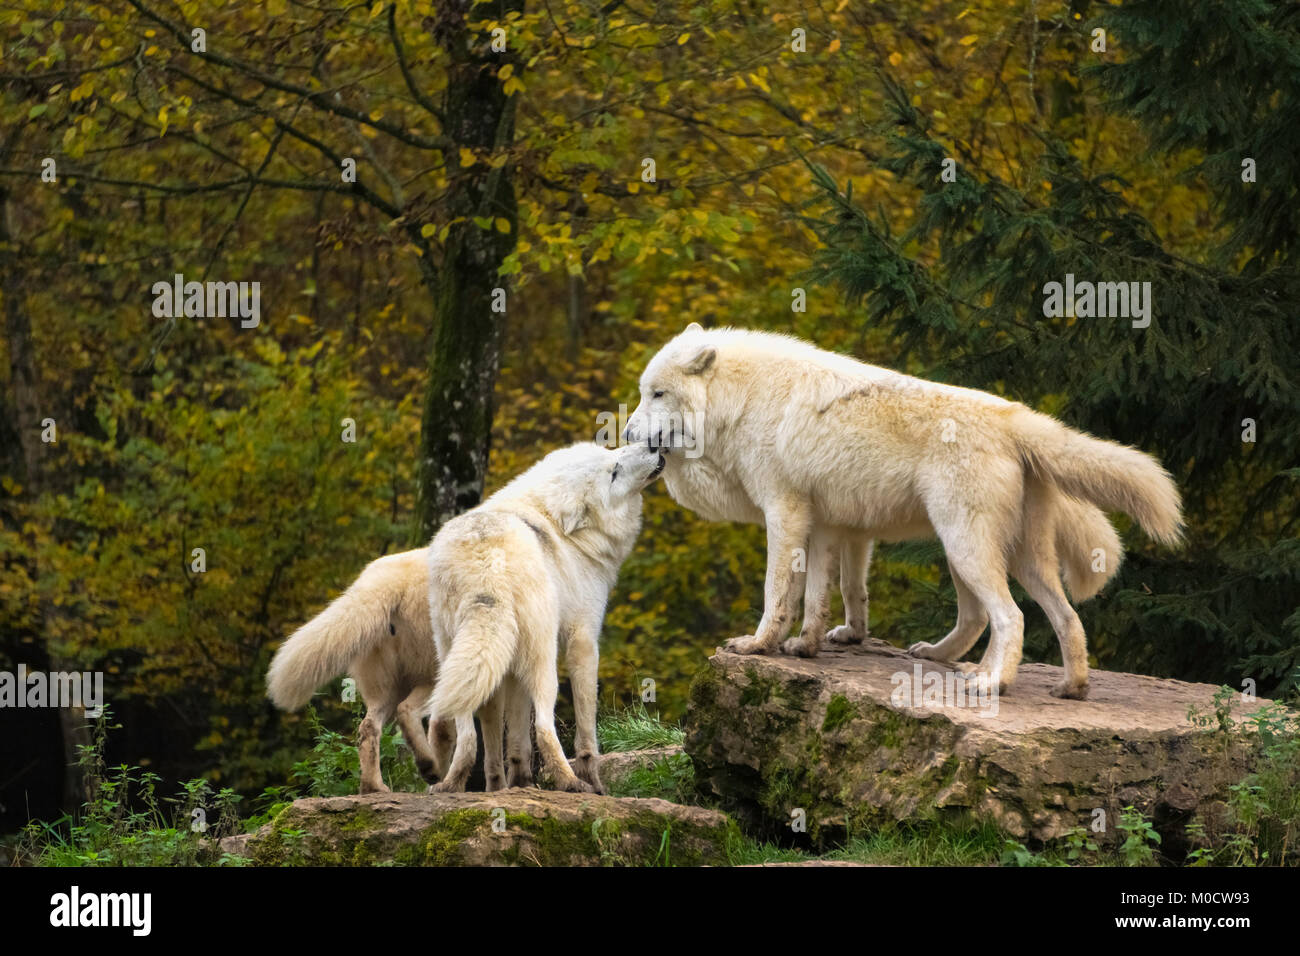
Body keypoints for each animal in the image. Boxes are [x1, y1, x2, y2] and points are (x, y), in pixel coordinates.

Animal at [265, 548, 452, 793]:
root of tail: (391, 582)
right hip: (432, 673)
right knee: (408, 711)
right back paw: (430, 768)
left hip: (388, 686)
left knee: (369, 726)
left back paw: (374, 787)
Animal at [426, 441, 664, 794]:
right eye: (613, 472)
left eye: (611, 451)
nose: (653, 444)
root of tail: (485, 557)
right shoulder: (584, 639)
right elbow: (585, 731)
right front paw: (593, 783)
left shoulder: (508, 673)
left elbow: (511, 745)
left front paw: (513, 785)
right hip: (544, 660)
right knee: (544, 725)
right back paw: (570, 782)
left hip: (456, 658)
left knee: (468, 735)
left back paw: (453, 785)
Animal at [624, 324, 1181, 699]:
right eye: (643, 393)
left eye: (658, 393)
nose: (626, 432)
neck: (743, 401)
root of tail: (1015, 418)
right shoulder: (832, 526)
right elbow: (835, 593)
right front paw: (814, 645)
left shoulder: (784, 513)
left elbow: (778, 592)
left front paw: (758, 645)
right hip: (1002, 555)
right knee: (1048, 617)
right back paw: (1059, 685)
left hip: (966, 545)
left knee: (1010, 616)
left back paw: (989, 683)